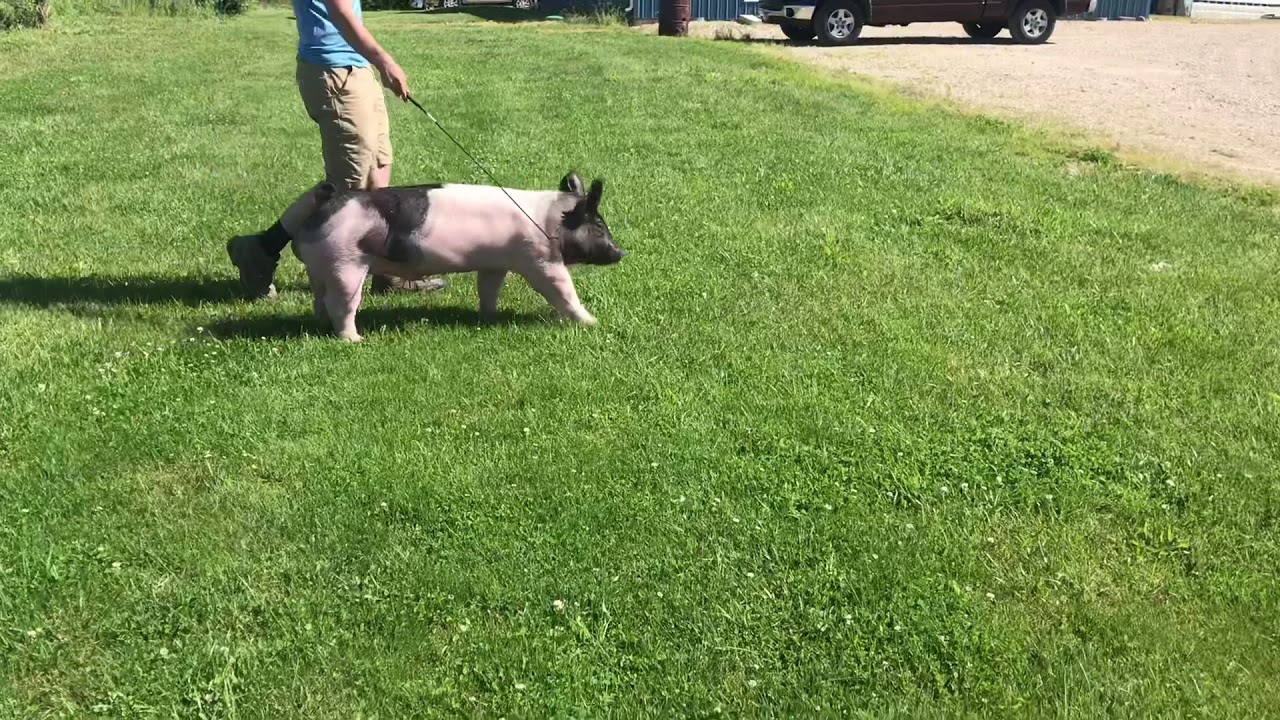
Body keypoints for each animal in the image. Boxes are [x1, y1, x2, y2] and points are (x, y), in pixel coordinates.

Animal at [289, 171, 626, 342]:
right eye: (598, 226)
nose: (621, 251)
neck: (550, 222)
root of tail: (325, 205)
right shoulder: (539, 260)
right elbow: (562, 290)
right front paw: (591, 322)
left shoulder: (495, 264)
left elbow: (488, 290)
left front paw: (490, 317)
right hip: (346, 263)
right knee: (342, 304)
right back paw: (354, 340)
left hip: (322, 268)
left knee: (320, 297)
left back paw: (320, 324)